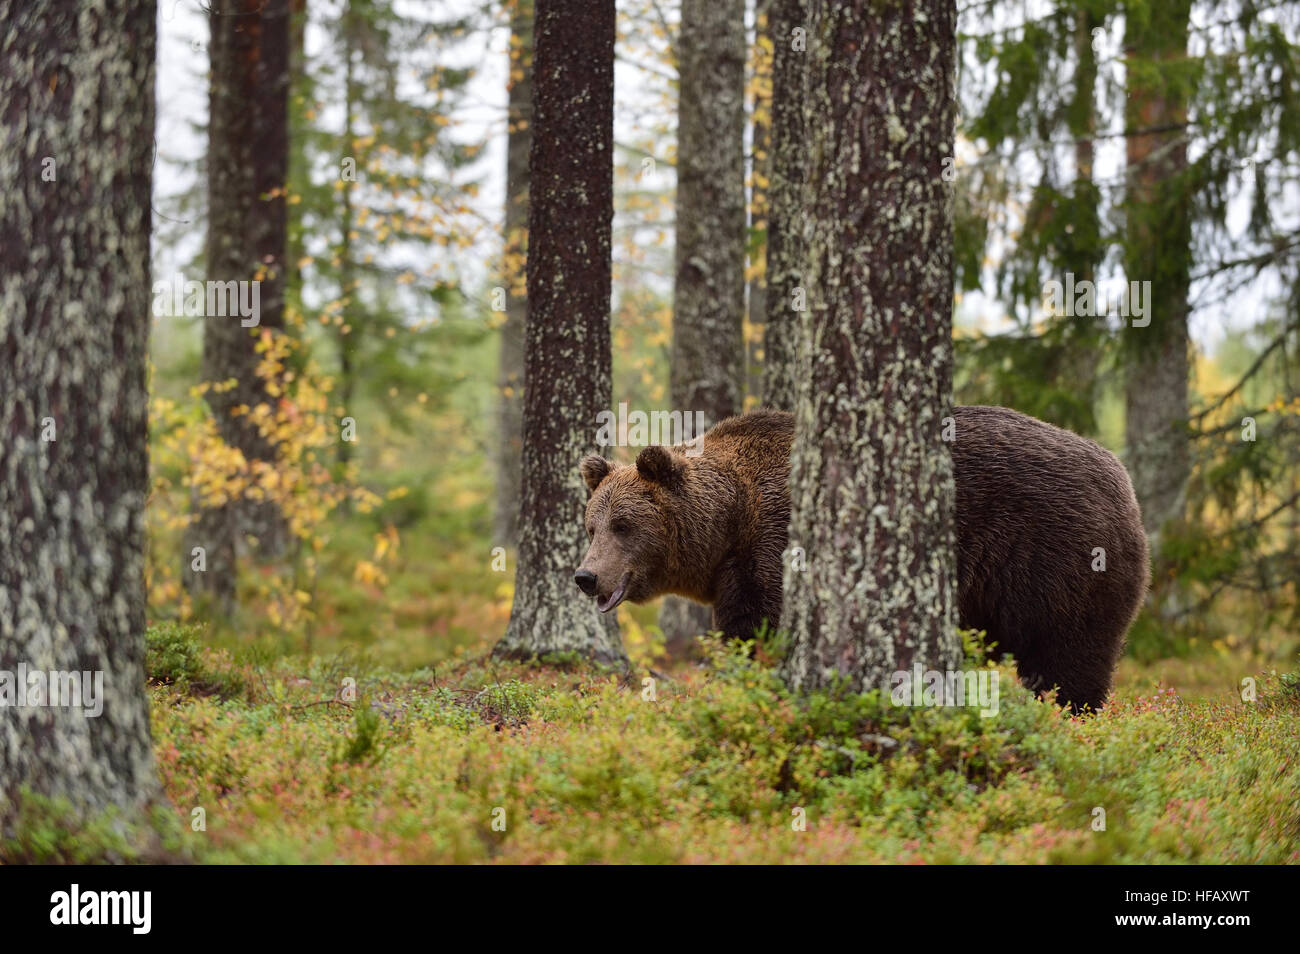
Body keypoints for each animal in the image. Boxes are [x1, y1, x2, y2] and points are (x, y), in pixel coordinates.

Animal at [575, 406, 1150, 712]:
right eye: (591, 525)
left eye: (624, 525)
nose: (586, 576)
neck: (732, 522)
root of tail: (1123, 479)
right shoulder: (737, 576)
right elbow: (743, 636)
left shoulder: (777, 547)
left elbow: (771, 629)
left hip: (1055, 558)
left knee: (1070, 658)